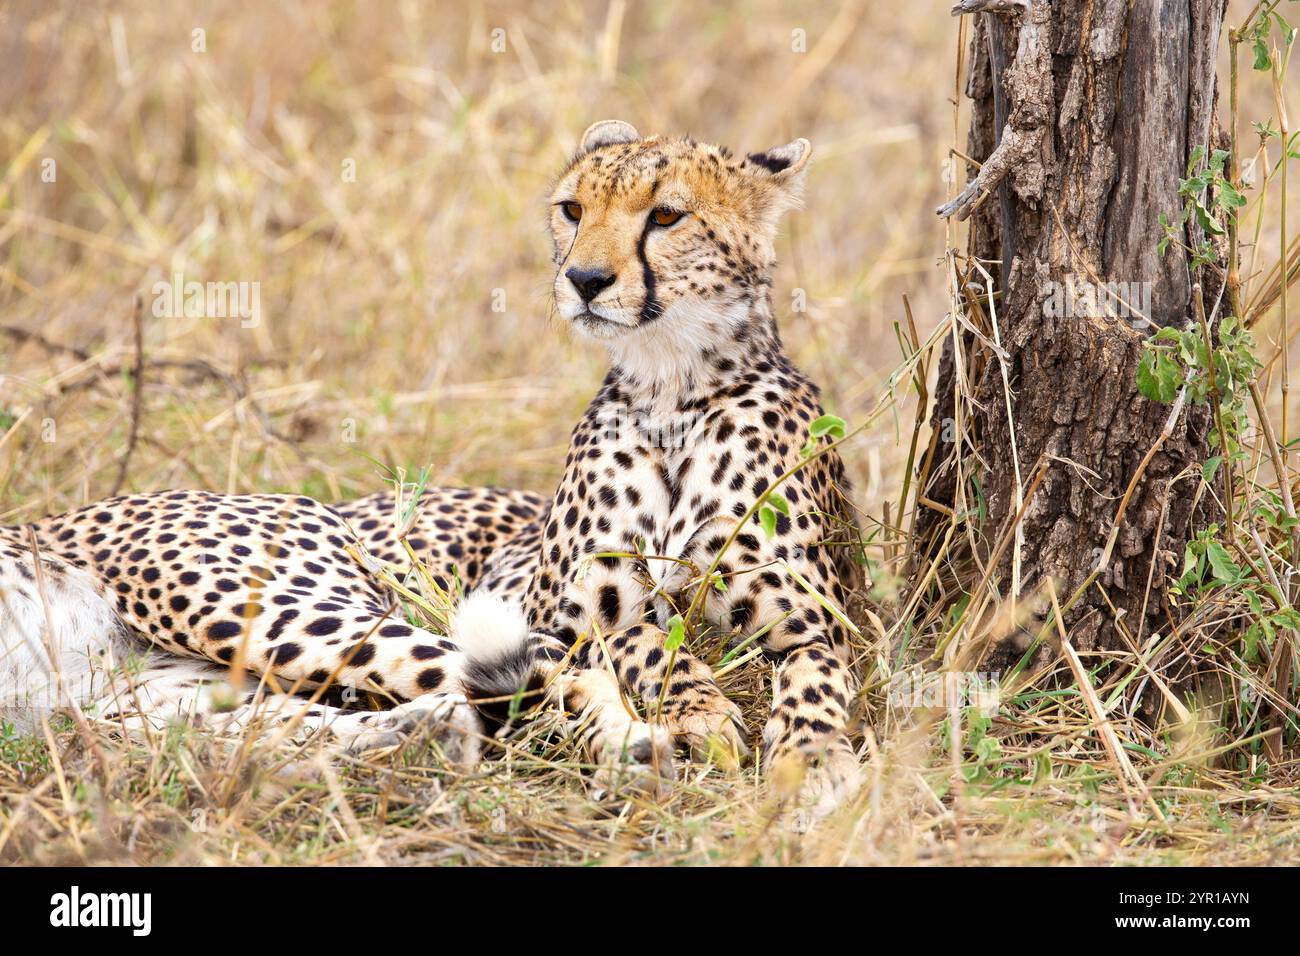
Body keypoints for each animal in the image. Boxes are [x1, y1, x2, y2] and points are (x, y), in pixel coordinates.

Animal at [0, 120, 866, 806]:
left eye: (666, 216)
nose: (585, 279)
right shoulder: (569, 608)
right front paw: (699, 710)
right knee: (496, 686)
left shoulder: (814, 621)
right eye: (573, 210)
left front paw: (819, 763)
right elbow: (638, 642)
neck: (674, 388)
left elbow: (816, 679)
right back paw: (619, 745)